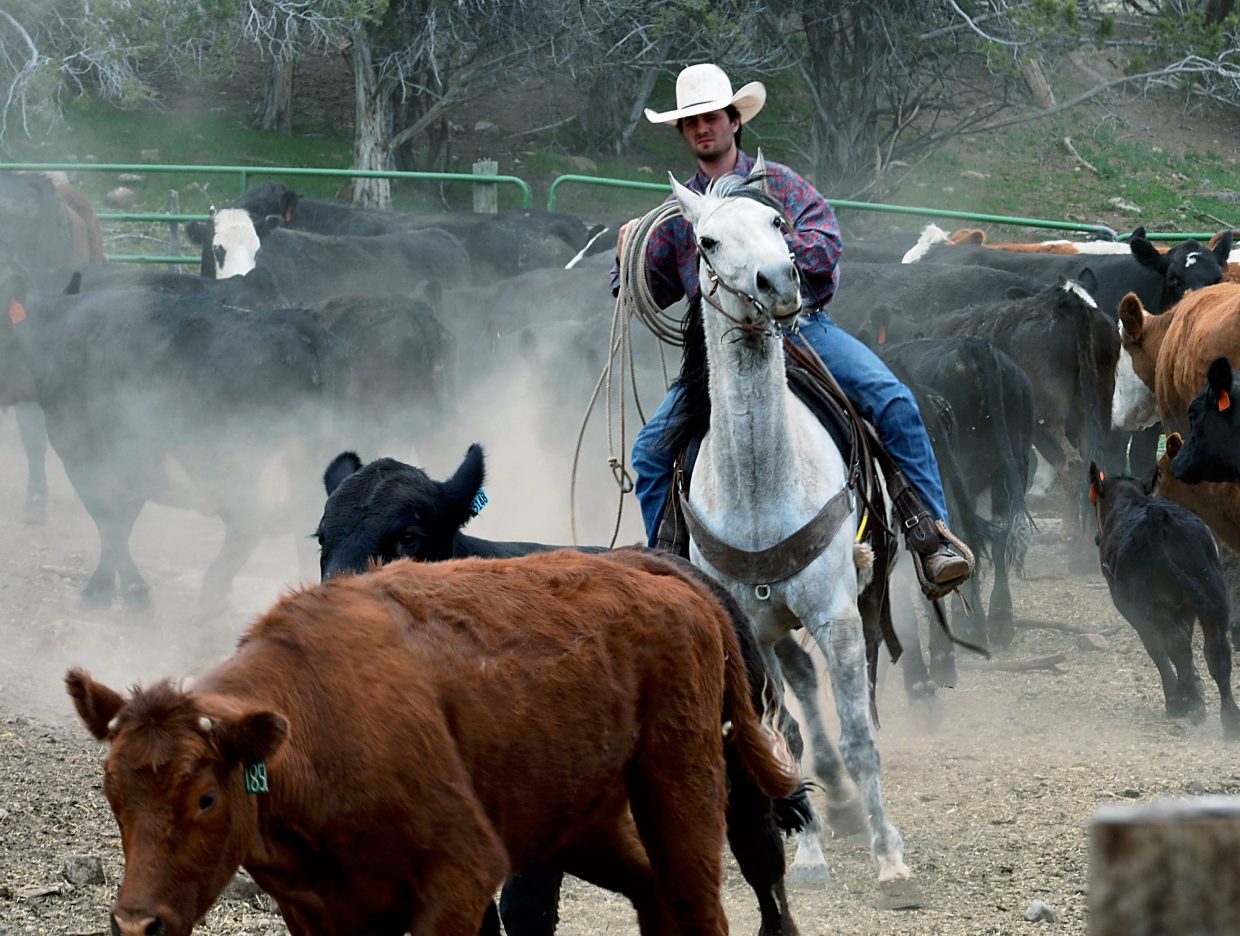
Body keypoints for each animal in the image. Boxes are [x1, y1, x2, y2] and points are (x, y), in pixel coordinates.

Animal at [0, 265, 347, 612]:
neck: (57, 334)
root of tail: (295, 321)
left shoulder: (88, 459)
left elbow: (111, 524)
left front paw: (121, 593)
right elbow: (120, 524)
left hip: (235, 463)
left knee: (249, 525)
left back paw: (212, 593)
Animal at [66, 548, 801, 936]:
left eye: (207, 799)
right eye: (113, 796)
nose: (135, 925)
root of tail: (651, 574)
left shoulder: (460, 874)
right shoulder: (318, 912)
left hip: (680, 787)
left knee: (697, 903)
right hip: (580, 824)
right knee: (652, 893)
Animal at [1090, 462, 1240, 738]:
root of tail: (1158, 523)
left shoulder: (1134, 613)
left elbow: (1156, 650)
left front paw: (1178, 698)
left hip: (1149, 606)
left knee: (1174, 645)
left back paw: (1189, 702)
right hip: (1213, 597)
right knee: (1215, 650)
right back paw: (1229, 717)